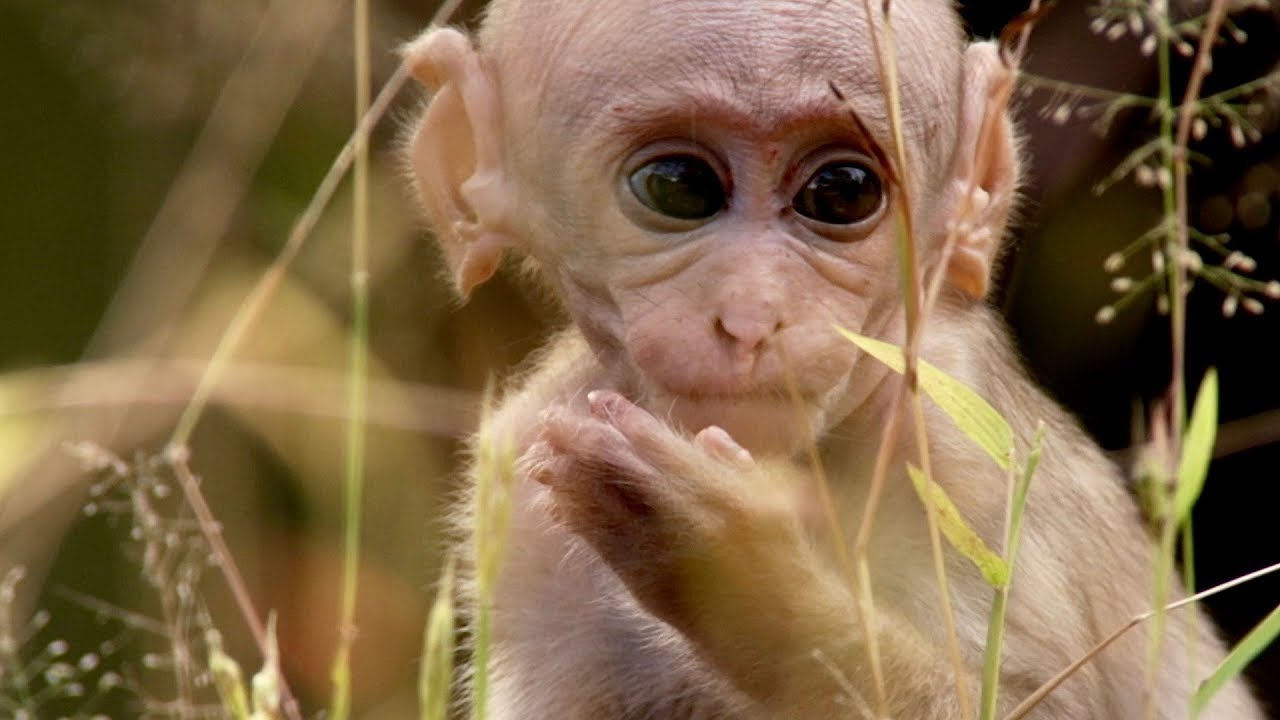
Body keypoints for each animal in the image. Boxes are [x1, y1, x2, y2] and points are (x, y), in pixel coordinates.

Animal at [402, 1, 1267, 718]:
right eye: (678, 185)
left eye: (843, 191)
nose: (753, 316)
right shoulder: (518, 488)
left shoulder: (953, 449)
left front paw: (746, 580)